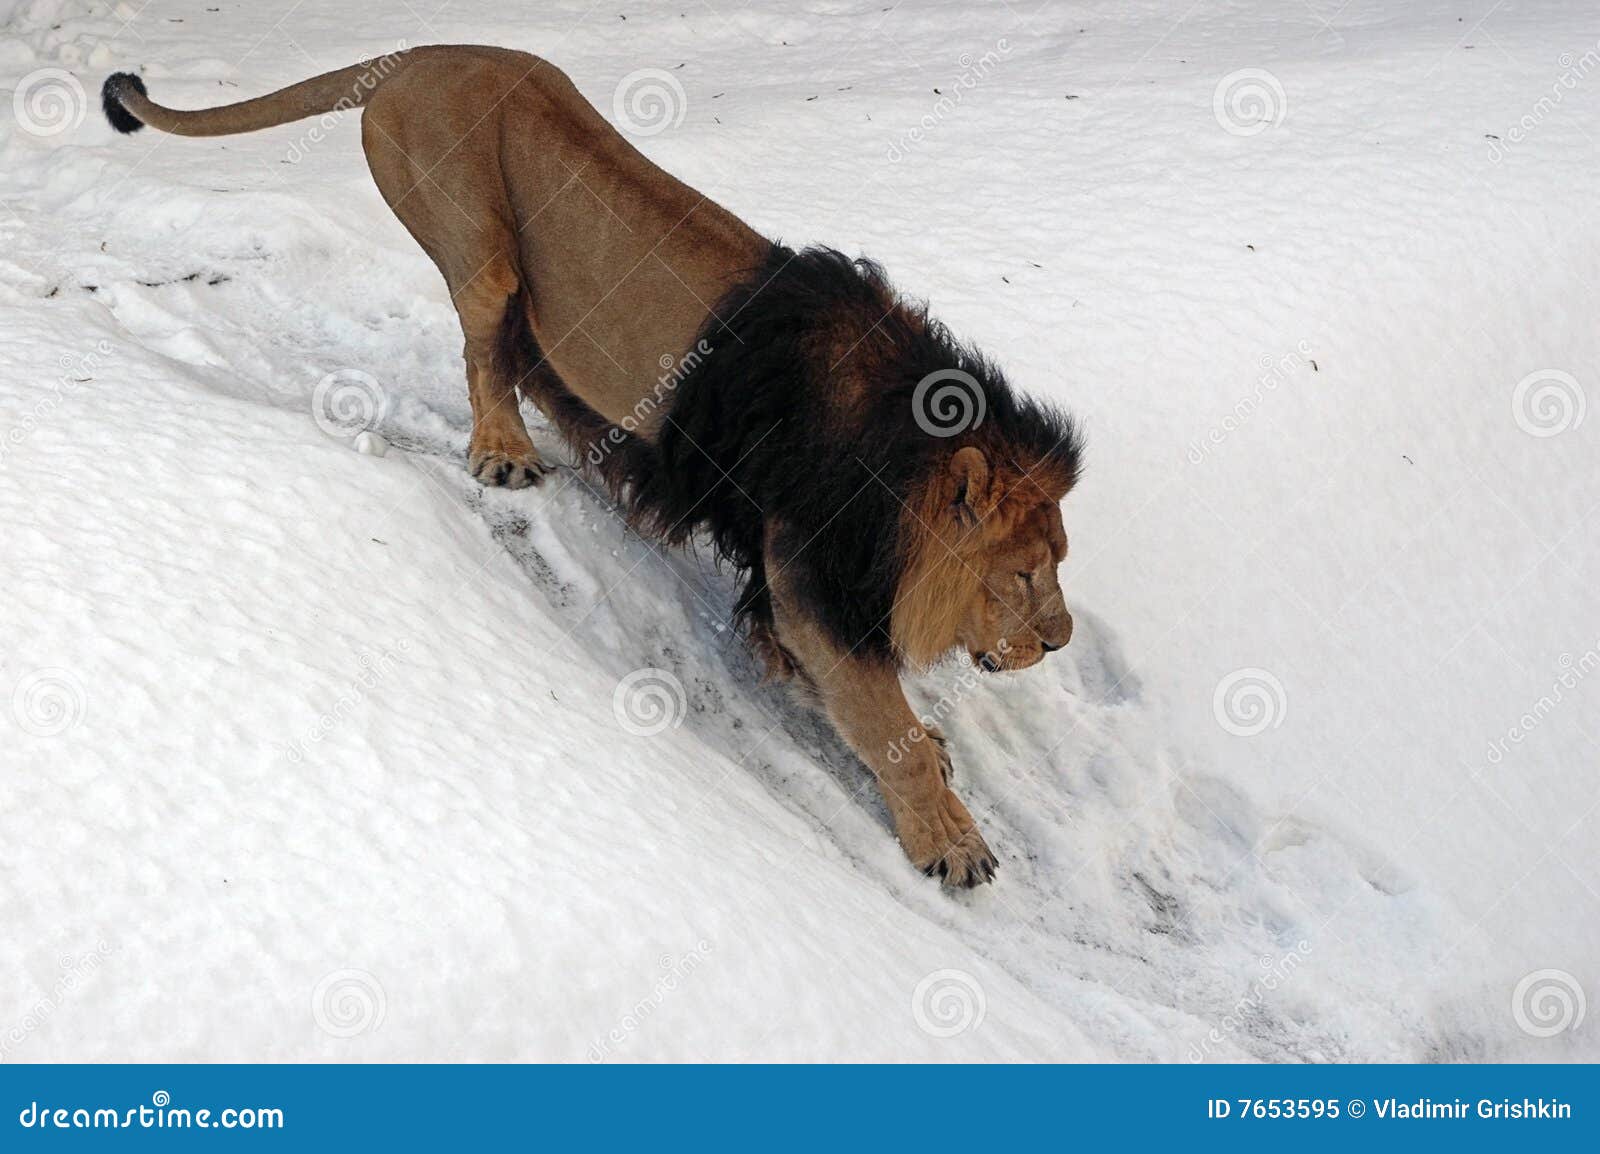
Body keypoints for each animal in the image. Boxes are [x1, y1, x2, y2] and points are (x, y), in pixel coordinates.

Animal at [102, 45, 1083, 888]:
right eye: (1023, 573)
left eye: (1057, 566)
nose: (1060, 641)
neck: (894, 461)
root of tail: (420, 54)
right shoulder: (807, 575)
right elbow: (888, 726)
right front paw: (949, 837)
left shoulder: (795, 575)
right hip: (479, 244)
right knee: (488, 358)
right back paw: (504, 453)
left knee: (531, 357)